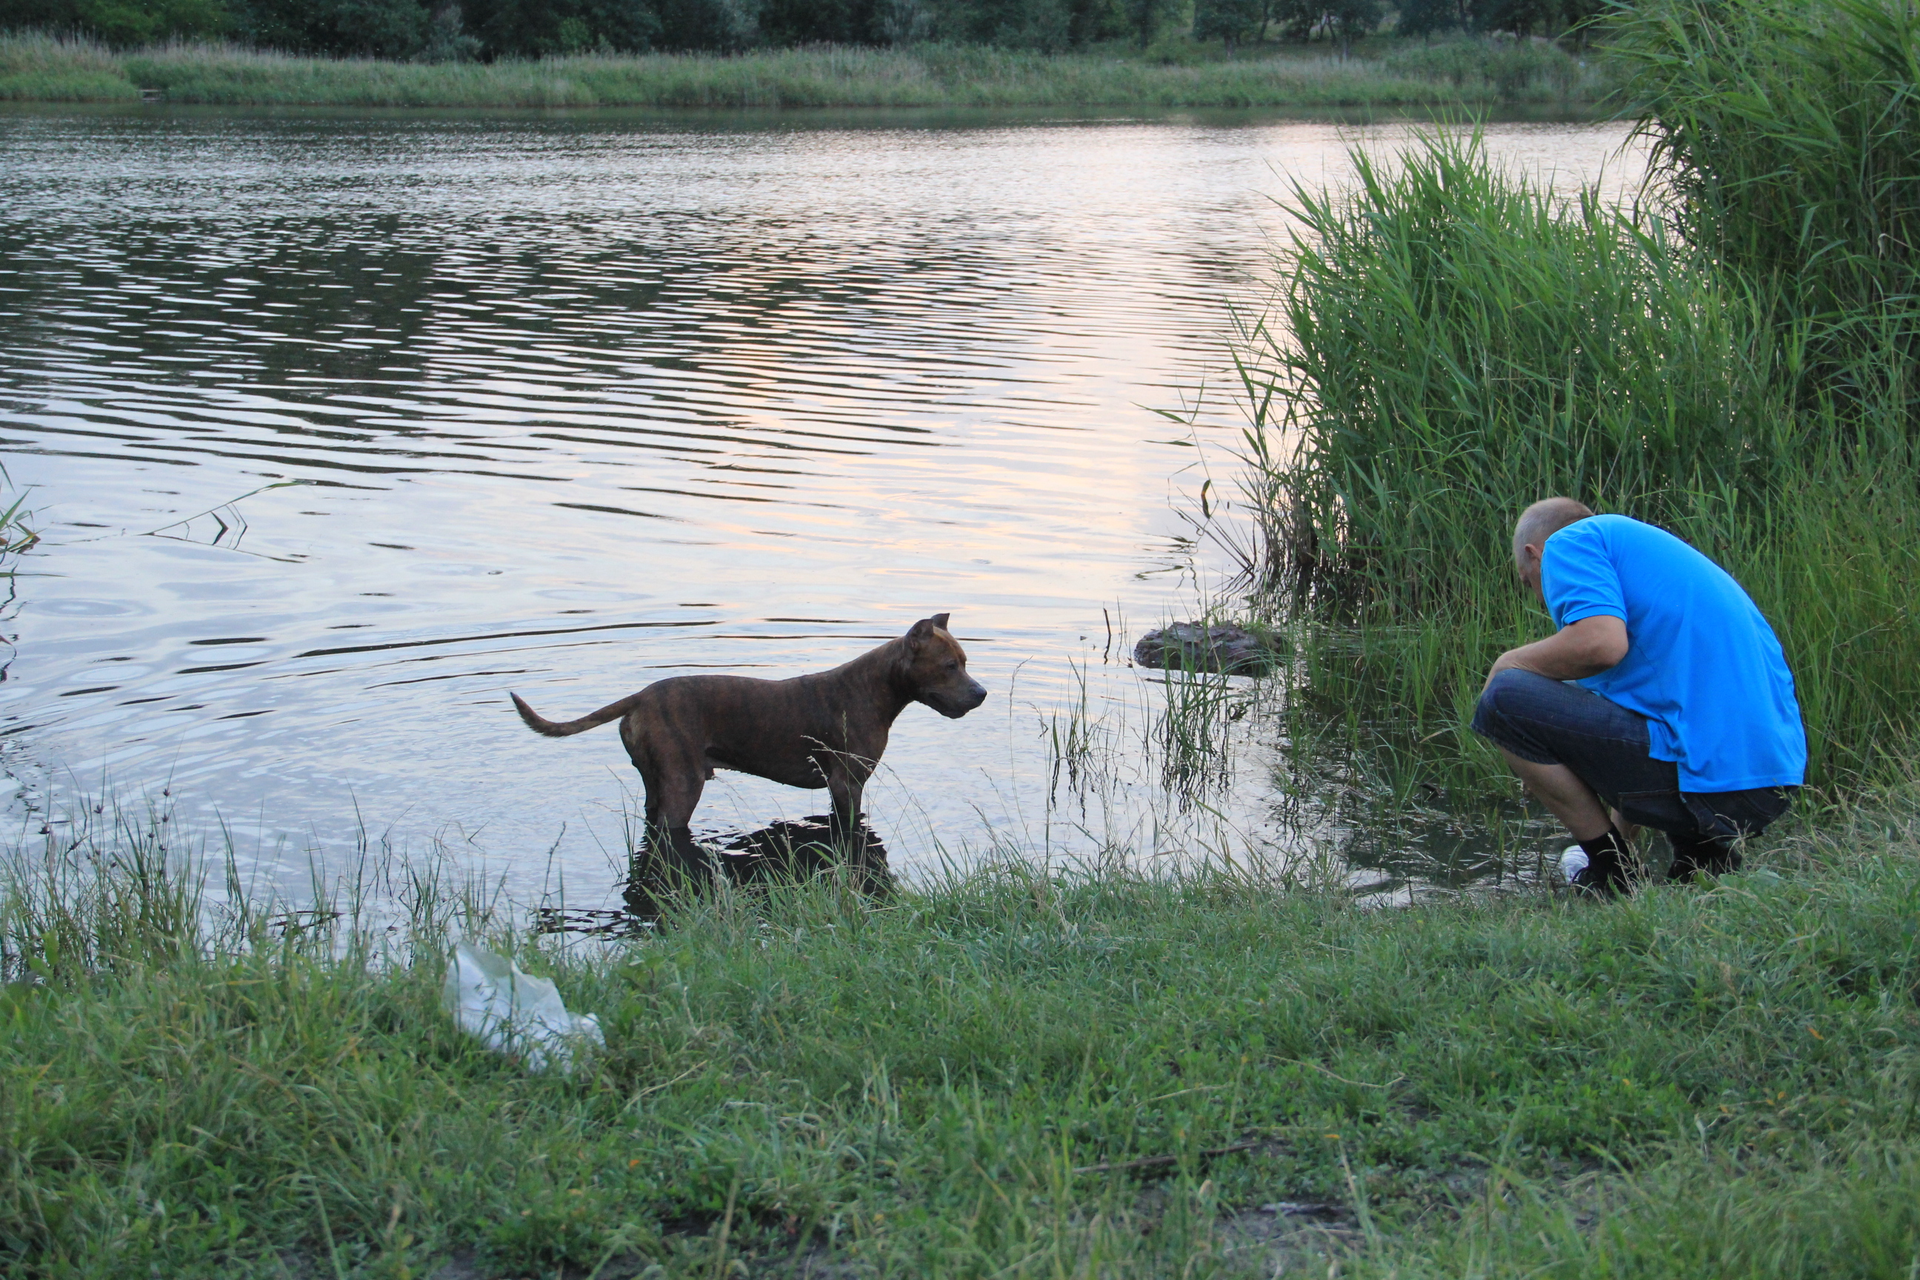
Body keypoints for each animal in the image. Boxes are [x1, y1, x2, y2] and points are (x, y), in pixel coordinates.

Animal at [510, 614, 990, 905]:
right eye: (950, 665)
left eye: (964, 662)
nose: (982, 693)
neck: (878, 688)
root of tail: (641, 696)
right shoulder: (847, 785)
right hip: (683, 785)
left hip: (654, 783)